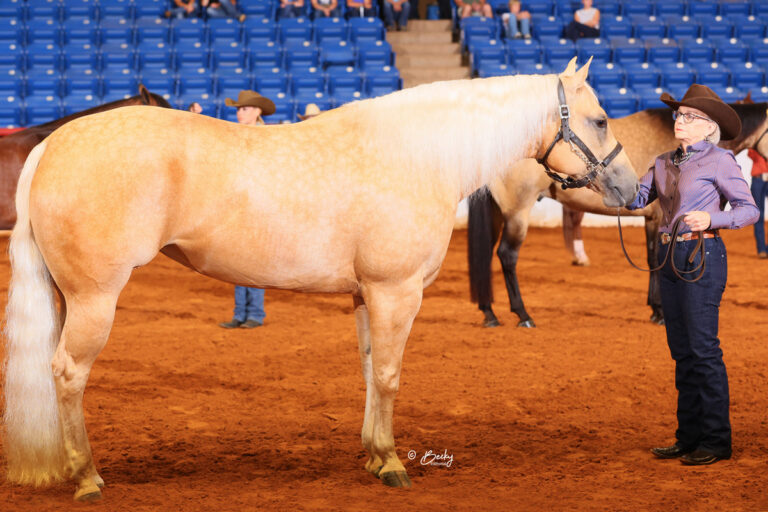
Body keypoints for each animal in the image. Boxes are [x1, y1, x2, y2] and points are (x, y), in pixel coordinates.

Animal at [467, 102, 768, 328]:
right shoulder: (658, 217)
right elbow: (655, 258)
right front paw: (659, 311)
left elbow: (652, 257)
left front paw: (654, 308)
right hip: (518, 212)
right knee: (507, 255)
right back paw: (523, 314)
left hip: (498, 211)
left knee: (486, 254)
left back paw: (489, 312)